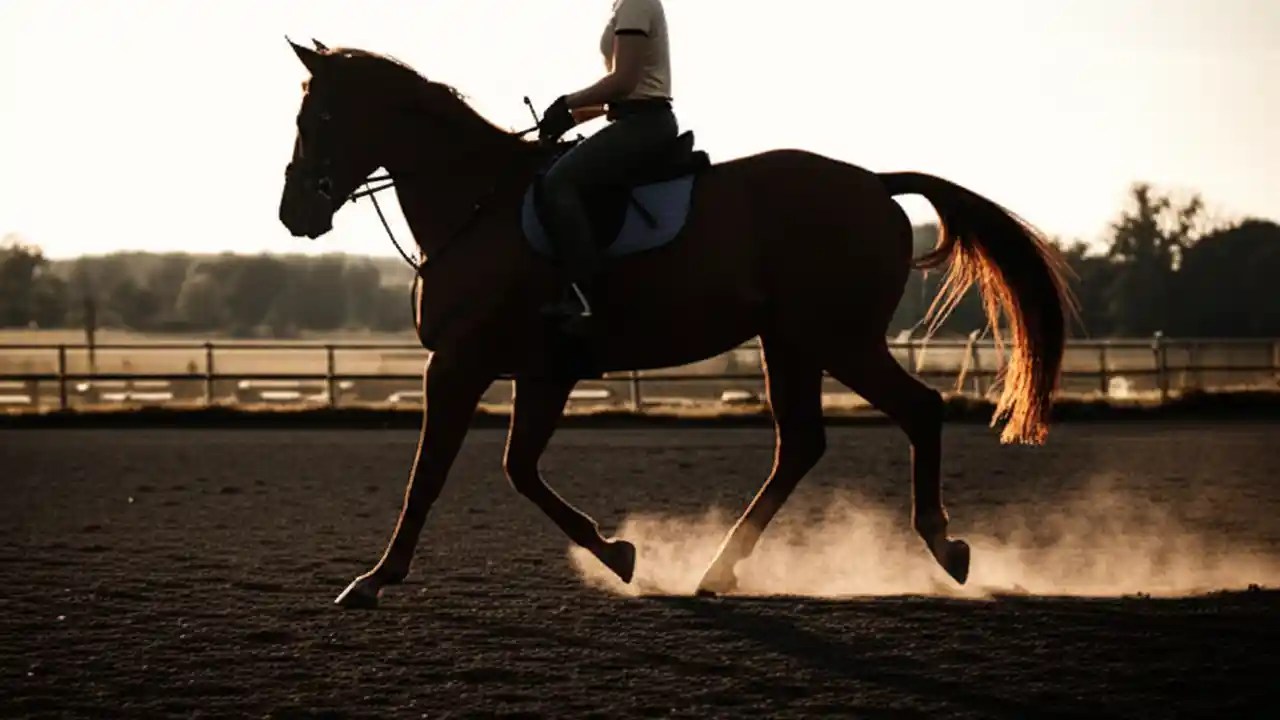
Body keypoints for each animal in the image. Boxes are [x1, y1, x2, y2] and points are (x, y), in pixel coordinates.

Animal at [277, 39, 1076, 609]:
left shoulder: (459, 363)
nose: (294, 214)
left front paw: (374, 580)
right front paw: (617, 553)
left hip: (839, 338)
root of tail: (876, 184)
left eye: (316, 121)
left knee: (919, 410)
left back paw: (945, 547)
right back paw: (719, 569)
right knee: (801, 444)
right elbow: (520, 471)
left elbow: (431, 474)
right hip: (790, 341)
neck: (478, 206)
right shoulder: (542, 371)